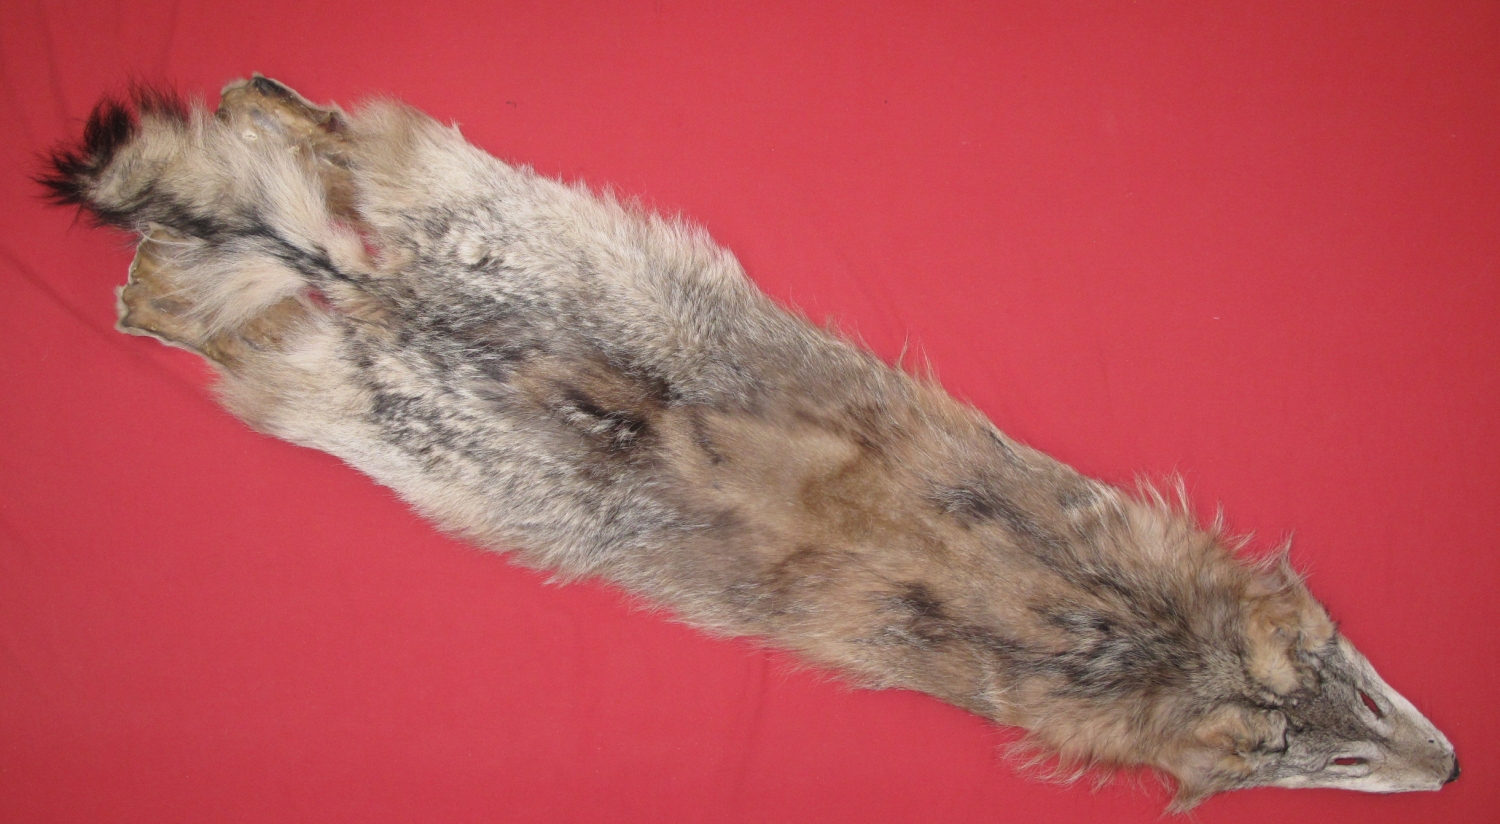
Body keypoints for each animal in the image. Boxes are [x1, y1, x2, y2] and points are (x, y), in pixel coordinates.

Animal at [40, 76, 1458, 809]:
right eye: (1343, 754)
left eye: (1365, 697)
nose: (1451, 768)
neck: (1116, 630)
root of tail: (375, 292)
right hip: (377, 352)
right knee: (303, 188)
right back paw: (219, 178)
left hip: (356, 337)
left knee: (307, 185)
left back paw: (227, 171)